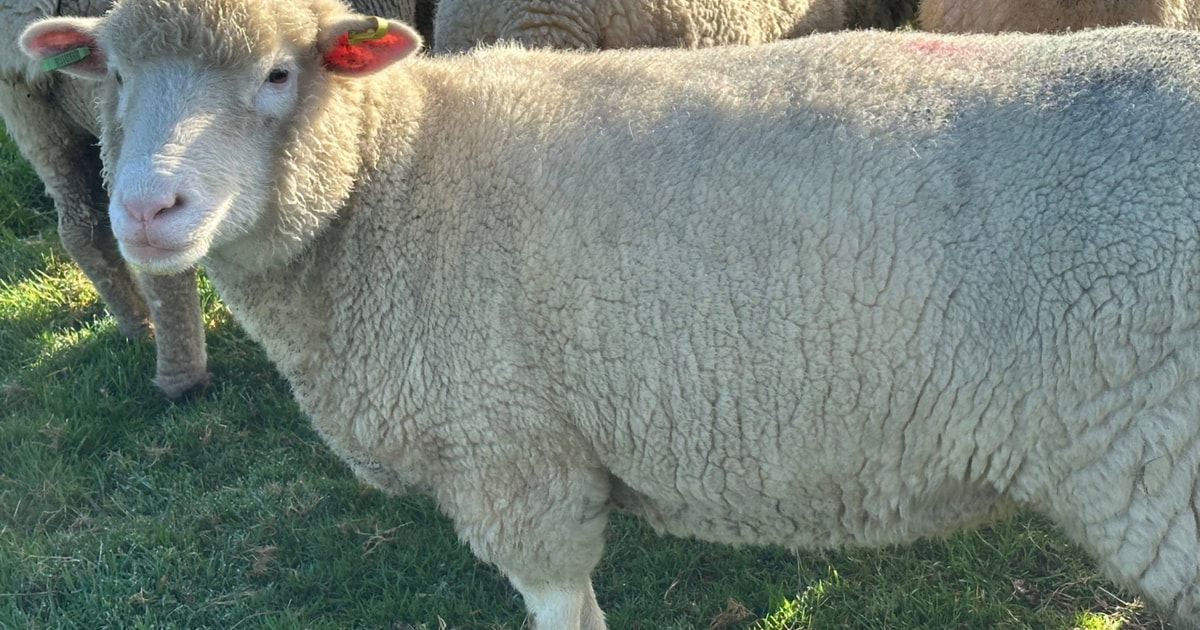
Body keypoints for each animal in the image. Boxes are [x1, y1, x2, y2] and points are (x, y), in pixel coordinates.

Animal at [21, 0, 1200, 627]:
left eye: (277, 74)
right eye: (111, 73)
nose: (145, 208)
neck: (393, 180)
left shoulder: (515, 460)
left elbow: (563, 608)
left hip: (1164, 467)